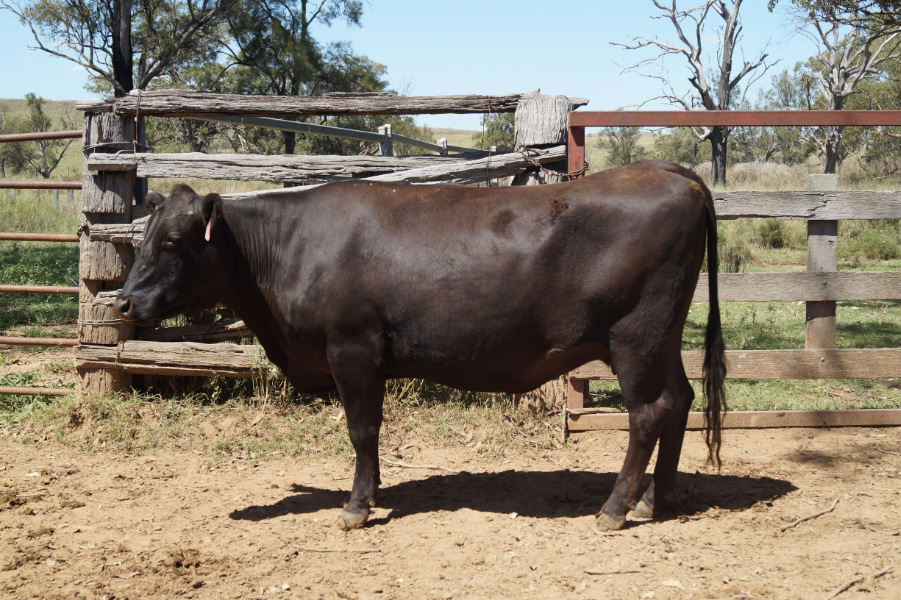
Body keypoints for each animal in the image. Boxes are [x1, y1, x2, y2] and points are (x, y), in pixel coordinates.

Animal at [114, 159, 726, 533]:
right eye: (144, 238)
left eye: (174, 241)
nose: (121, 303)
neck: (288, 248)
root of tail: (671, 173)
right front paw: (375, 493)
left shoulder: (352, 350)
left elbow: (362, 430)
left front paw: (357, 507)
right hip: (663, 337)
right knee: (681, 400)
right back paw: (656, 500)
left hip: (634, 337)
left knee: (648, 413)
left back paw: (615, 508)